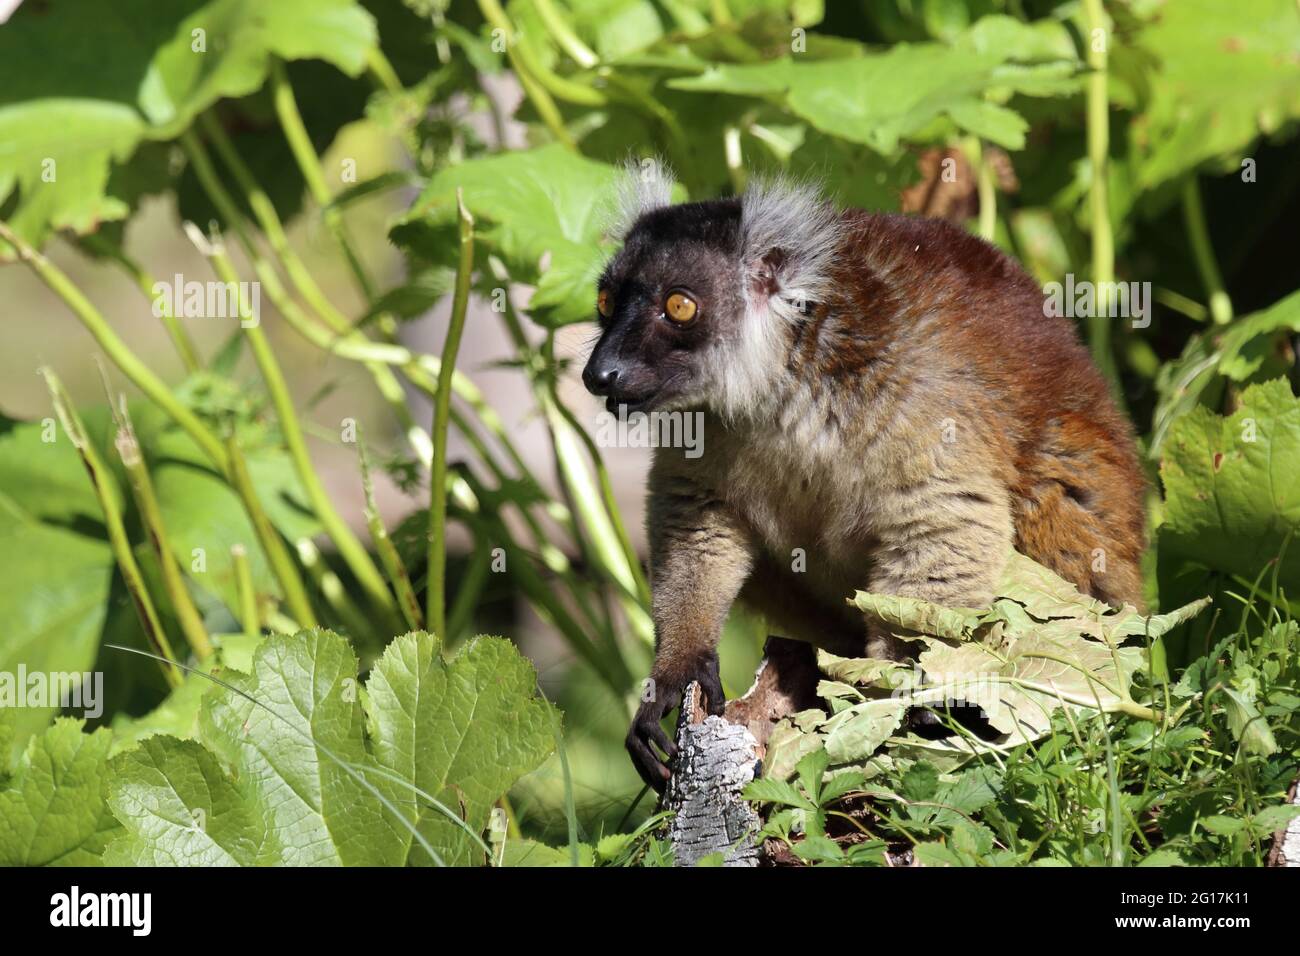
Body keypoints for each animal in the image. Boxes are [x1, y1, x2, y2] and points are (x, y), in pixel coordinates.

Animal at [582, 170, 1146, 790]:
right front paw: (677, 669)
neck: (783, 381)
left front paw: (902, 700)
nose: (599, 373)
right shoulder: (703, 424)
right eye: (606, 302)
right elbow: (698, 519)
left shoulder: (918, 399)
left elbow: (942, 525)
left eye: (679, 306)